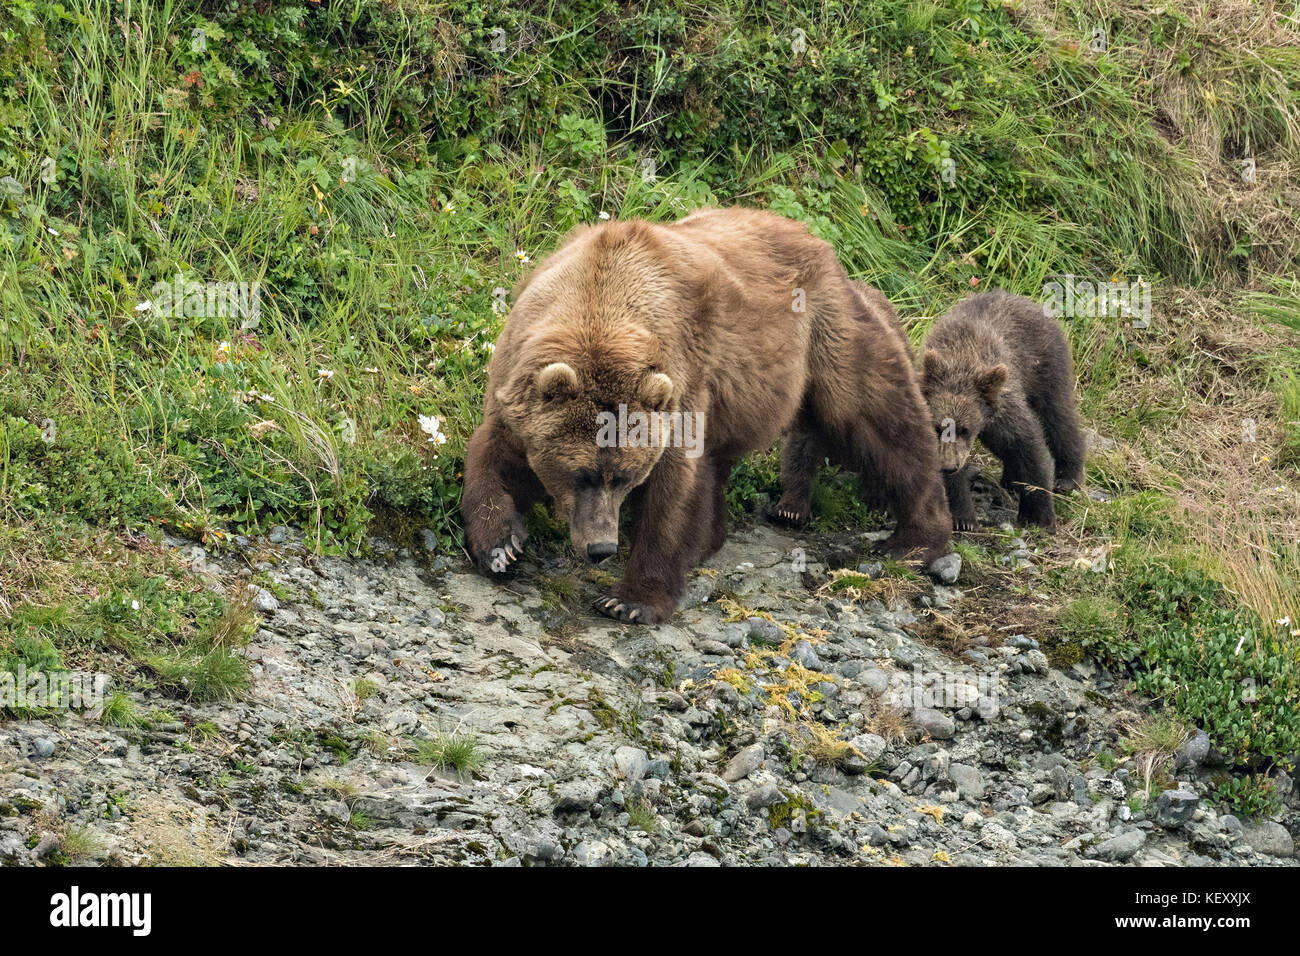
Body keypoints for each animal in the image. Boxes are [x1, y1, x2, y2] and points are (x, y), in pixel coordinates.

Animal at [461, 207, 951, 625]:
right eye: (581, 474)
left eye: (625, 477)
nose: (601, 547)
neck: (601, 295)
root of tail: (823, 245)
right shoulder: (519, 381)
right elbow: (494, 454)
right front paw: (500, 545)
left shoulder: (679, 382)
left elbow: (674, 487)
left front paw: (631, 600)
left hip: (826, 332)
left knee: (878, 417)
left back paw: (916, 538)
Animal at [917, 289, 1085, 532]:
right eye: (938, 427)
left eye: (966, 429)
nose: (949, 466)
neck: (961, 359)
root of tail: (1025, 299)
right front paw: (963, 518)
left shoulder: (1004, 408)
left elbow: (1029, 445)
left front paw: (1038, 515)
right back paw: (1011, 479)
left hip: (1045, 368)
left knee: (1059, 418)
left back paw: (1068, 478)